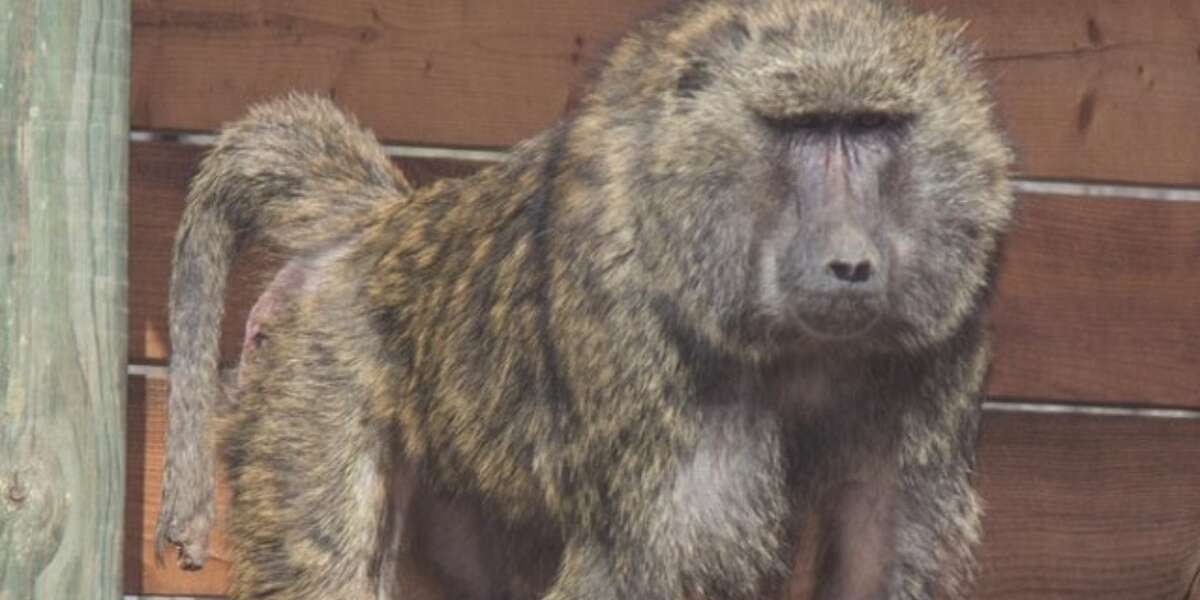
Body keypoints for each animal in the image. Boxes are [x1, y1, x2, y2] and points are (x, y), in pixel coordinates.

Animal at [158, 0, 1015, 598]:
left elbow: (880, 549)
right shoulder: (641, 354)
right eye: (806, 131)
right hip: (316, 378)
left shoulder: (945, 342)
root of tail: (375, 230)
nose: (850, 264)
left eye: (873, 128)